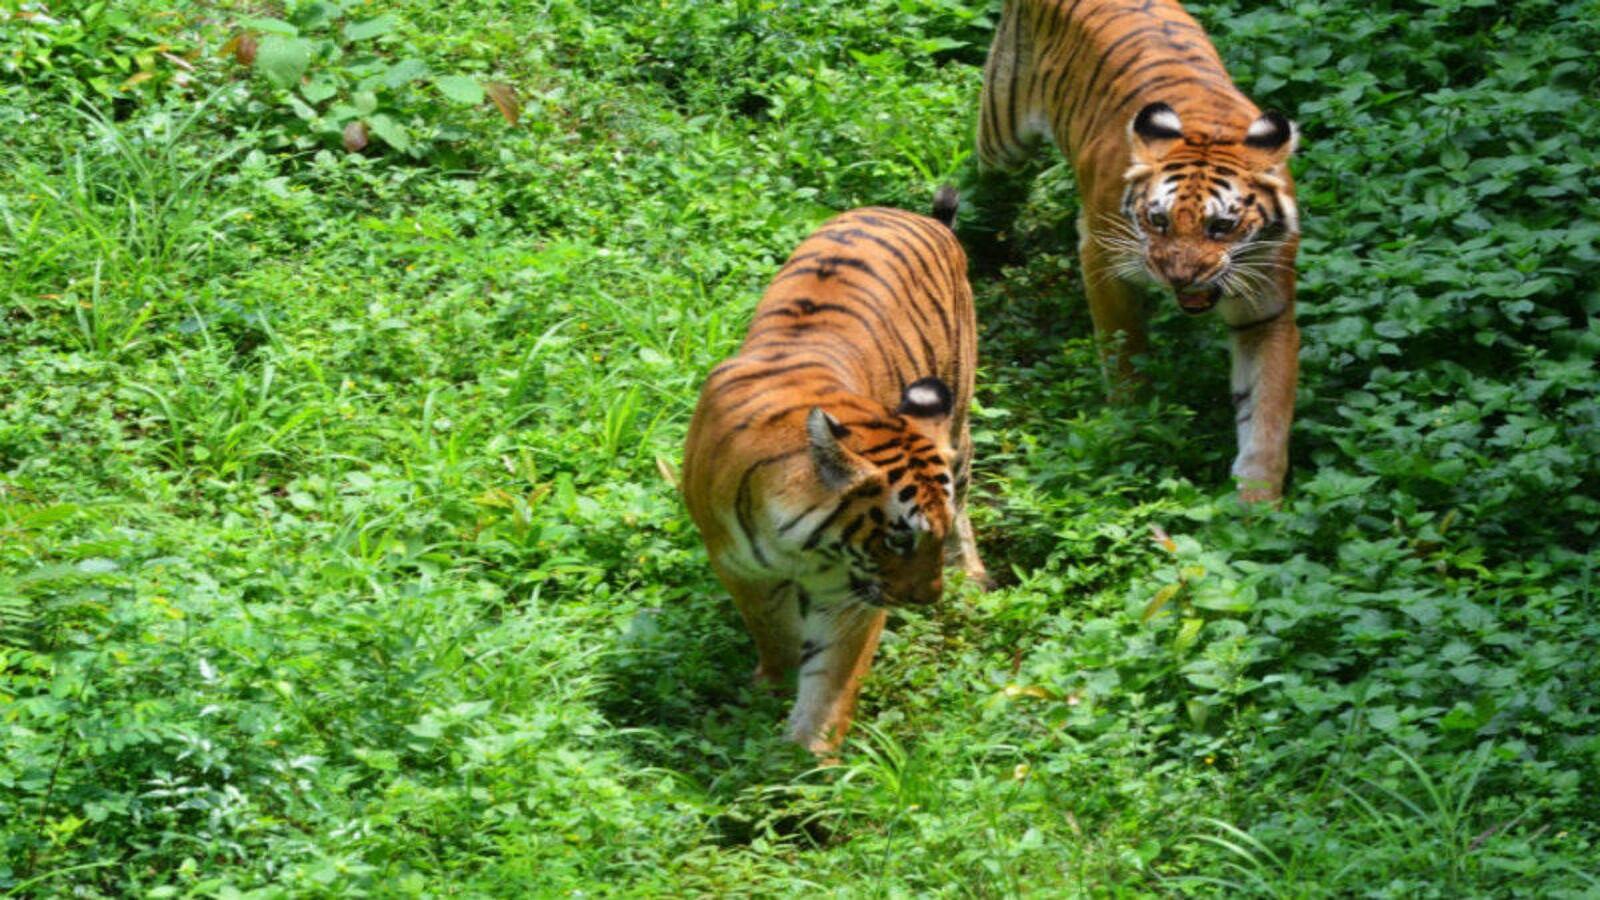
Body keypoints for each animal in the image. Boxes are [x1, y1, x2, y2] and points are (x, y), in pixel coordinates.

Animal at [681, 189, 987, 756]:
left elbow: (831, 680)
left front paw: (805, 759)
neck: (797, 543)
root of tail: (915, 217)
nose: (928, 599)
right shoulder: (737, 566)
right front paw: (773, 695)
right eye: (898, 540)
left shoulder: (850, 592)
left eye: (924, 540)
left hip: (955, 418)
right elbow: (775, 636)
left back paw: (972, 575)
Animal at [966, 0, 1302, 502]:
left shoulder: (1266, 306)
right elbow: (1123, 350)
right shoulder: (1102, 257)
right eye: (1158, 220)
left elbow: (1266, 409)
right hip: (1002, 128)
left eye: (1221, 226)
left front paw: (1257, 504)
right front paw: (1135, 425)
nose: (1179, 277)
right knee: (980, 174)